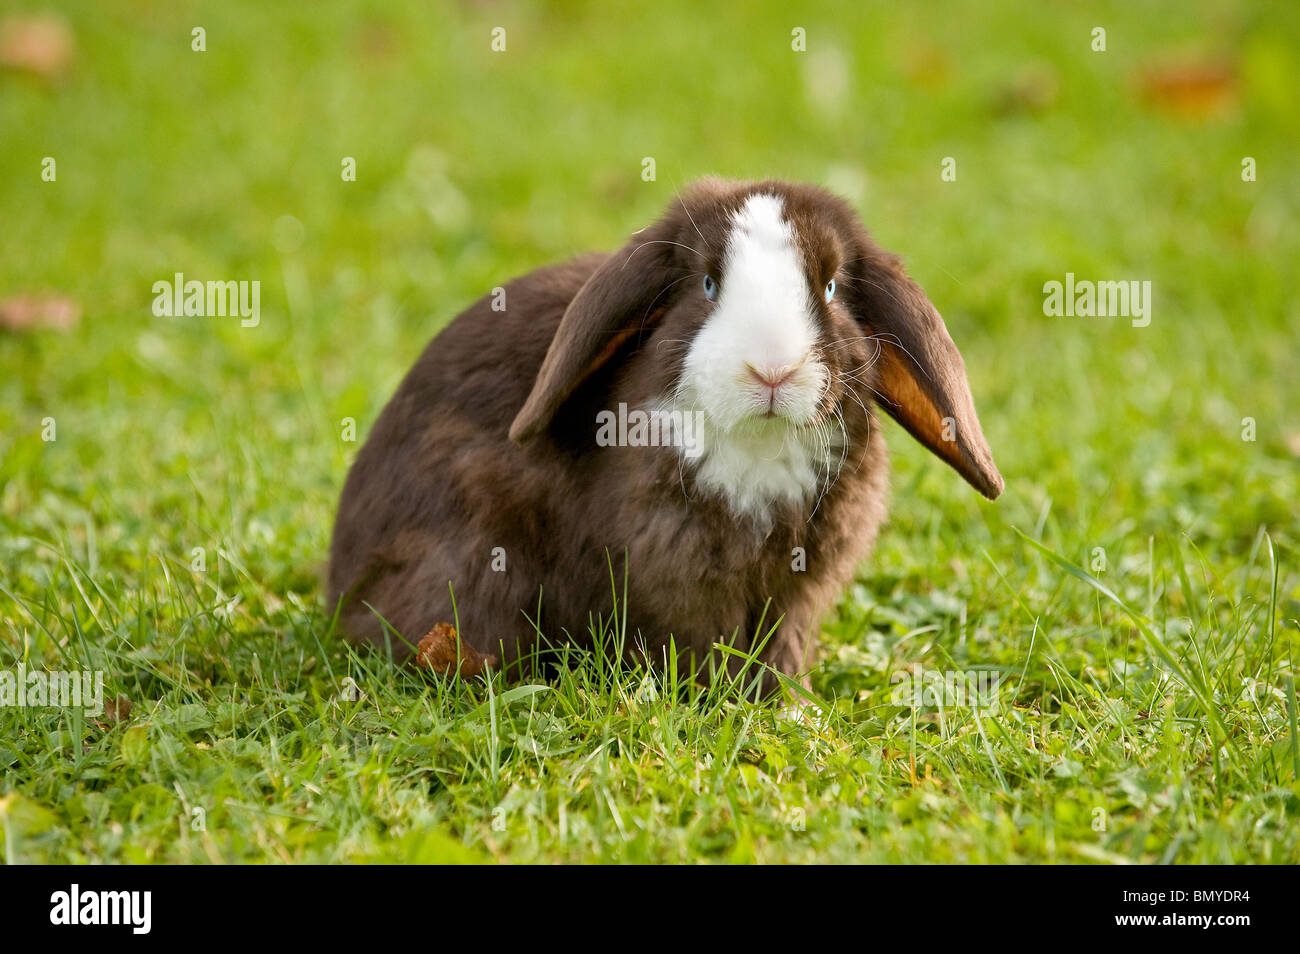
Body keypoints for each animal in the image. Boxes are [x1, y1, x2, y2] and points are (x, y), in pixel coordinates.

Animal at [327, 177, 1002, 693]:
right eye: (707, 285)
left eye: (832, 287)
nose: (771, 369)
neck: (759, 446)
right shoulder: (677, 575)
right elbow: (701, 641)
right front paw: (713, 699)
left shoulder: (799, 588)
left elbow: (782, 643)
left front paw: (787, 701)